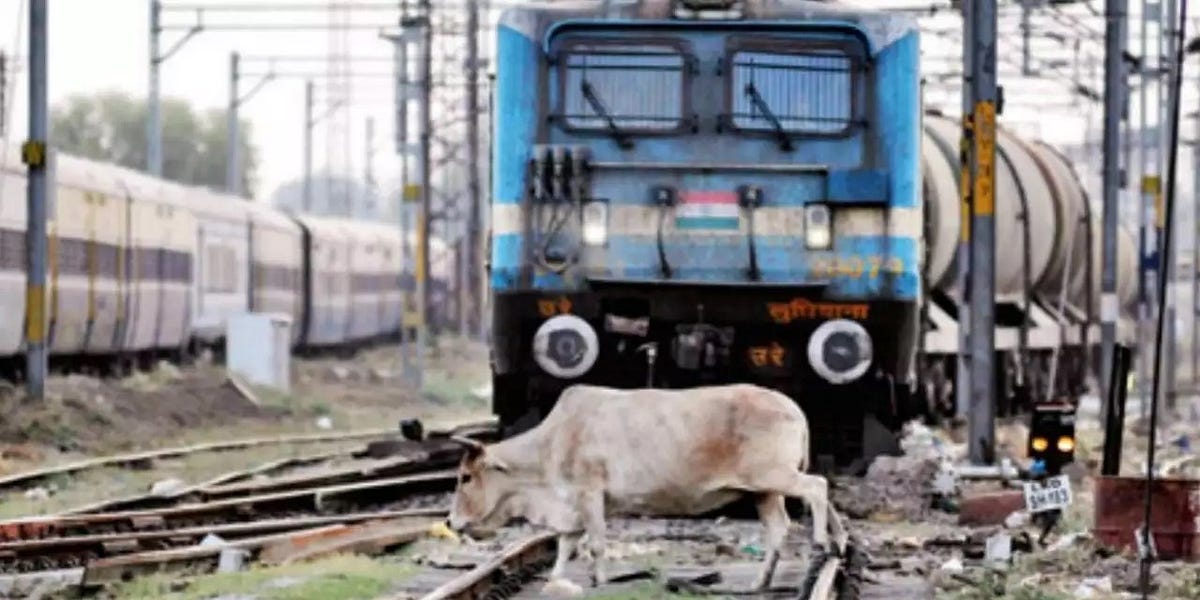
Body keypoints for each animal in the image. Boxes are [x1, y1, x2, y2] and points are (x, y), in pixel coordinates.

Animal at [446, 383, 849, 594]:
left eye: (466, 477)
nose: (450, 522)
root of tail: (791, 406)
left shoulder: (590, 494)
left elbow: (595, 542)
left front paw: (600, 581)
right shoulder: (574, 506)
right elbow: (565, 545)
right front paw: (558, 579)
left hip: (773, 475)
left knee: (817, 487)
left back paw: (820, 546)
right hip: (764, 489)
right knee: (782, 526)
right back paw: (767, 579)